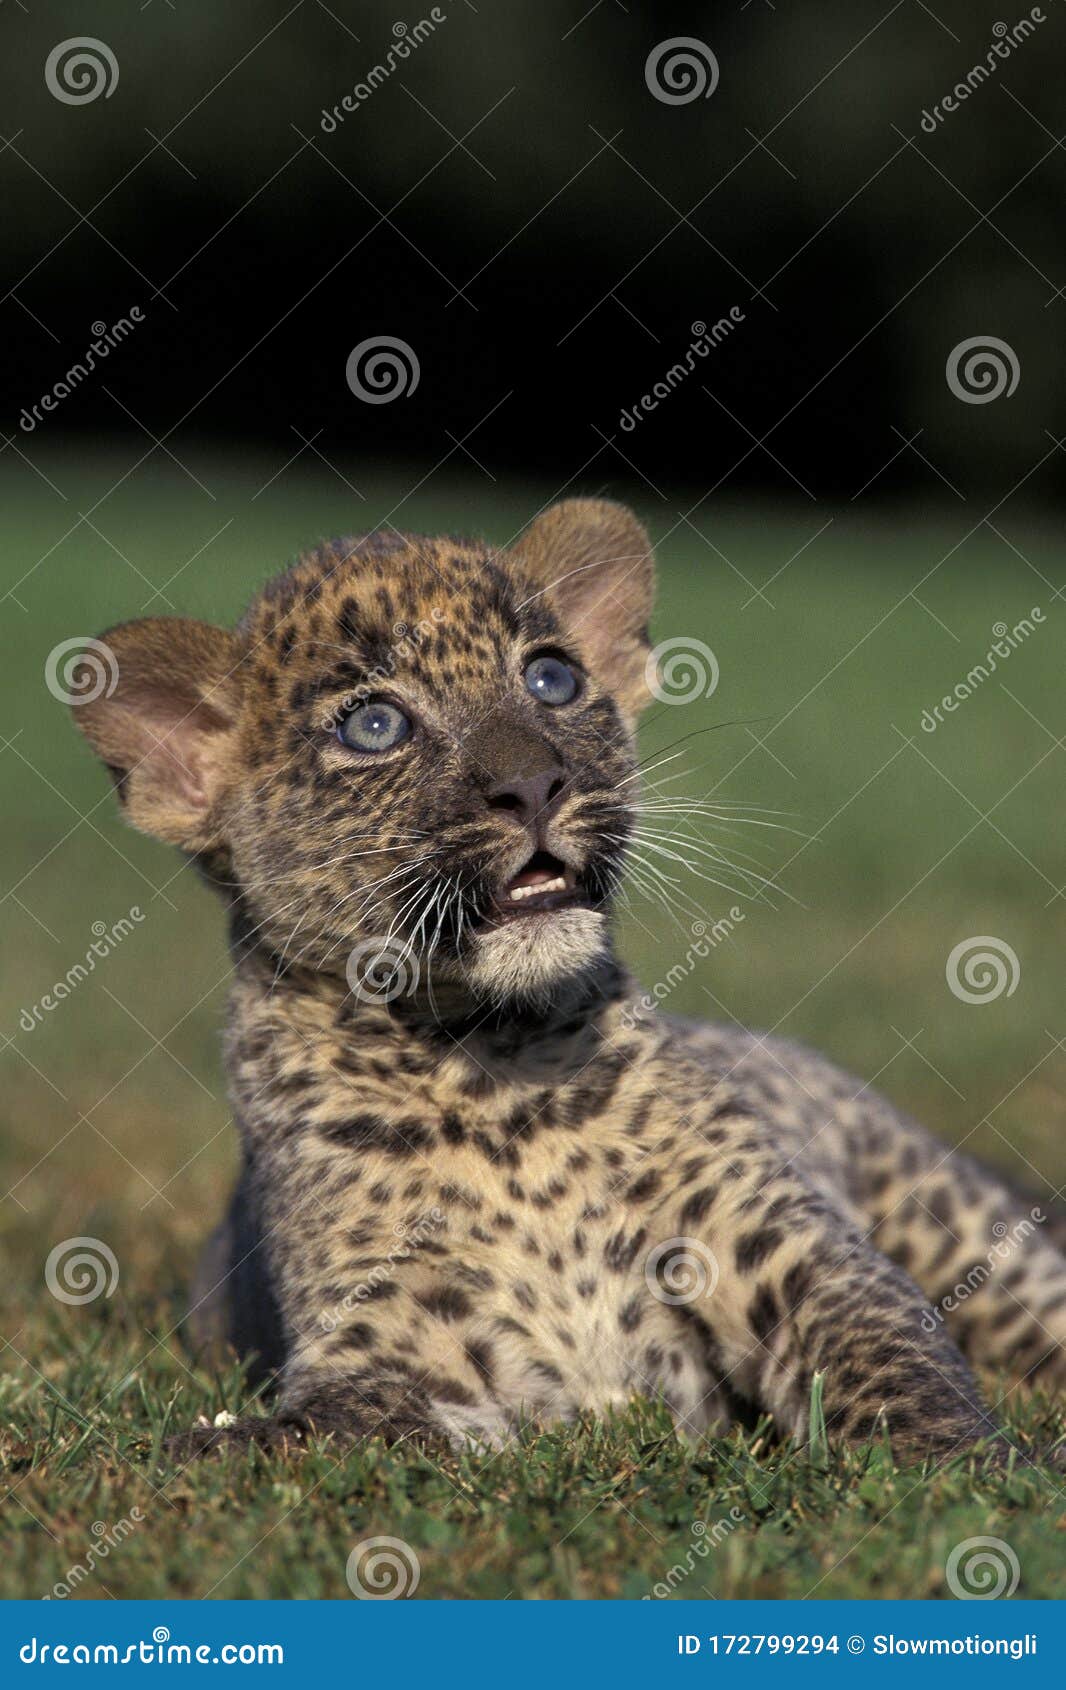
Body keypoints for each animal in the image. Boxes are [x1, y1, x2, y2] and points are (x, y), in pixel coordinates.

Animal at [71, 497, 1066, 1469]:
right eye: (373, 726)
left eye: (551, 678)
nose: (533, 784)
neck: (497, 1074)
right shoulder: (388, 1349)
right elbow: (305, 1437)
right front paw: (176, 1454)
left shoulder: (785, 1249)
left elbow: (889, 1356)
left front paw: (968, 1470)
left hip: (954, 1216)